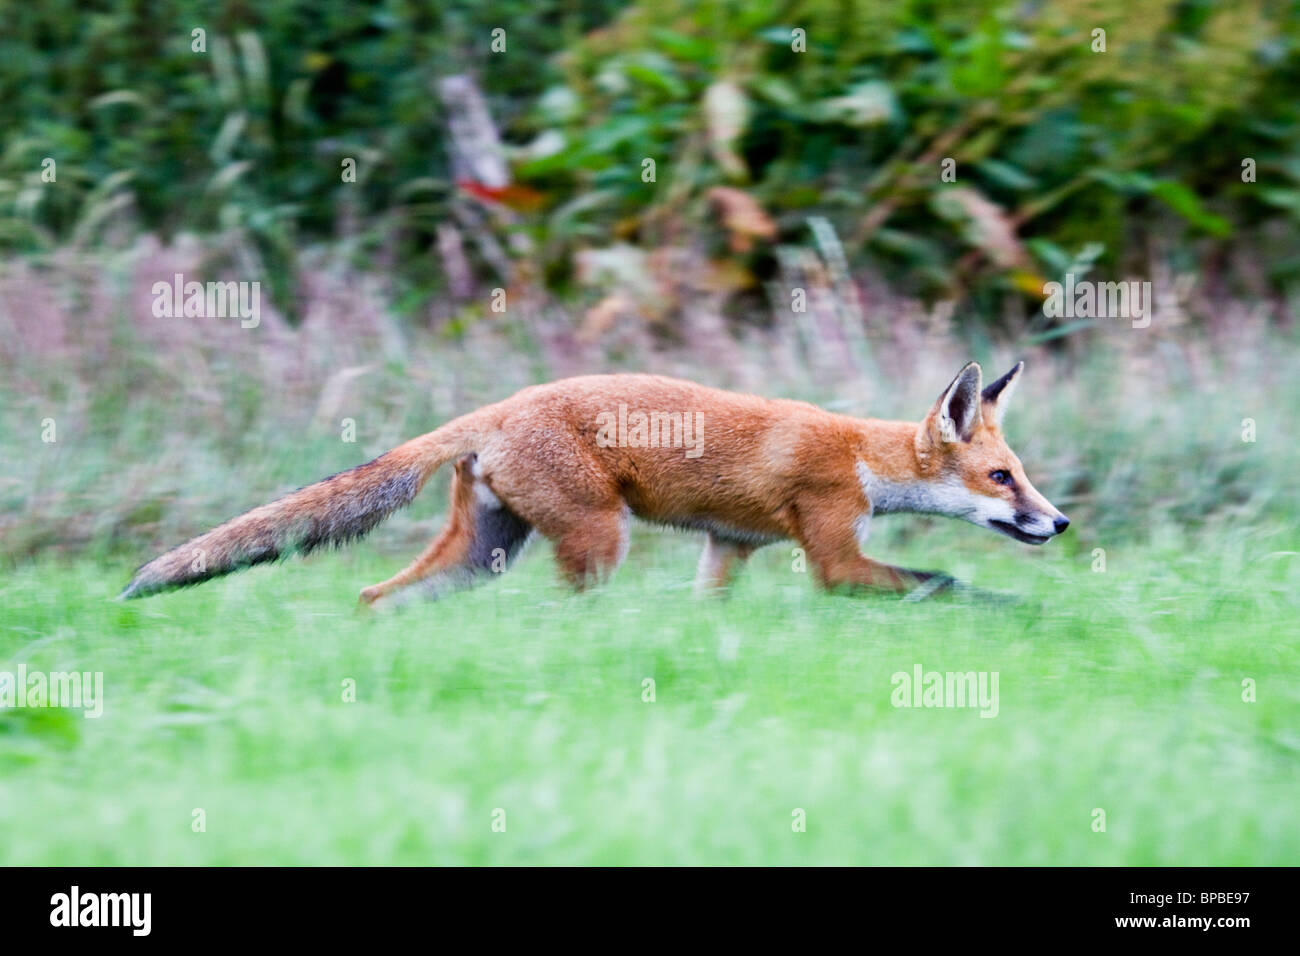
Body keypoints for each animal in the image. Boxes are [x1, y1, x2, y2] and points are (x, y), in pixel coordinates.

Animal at [119, 360, 1069, 603]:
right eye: (1001, 479)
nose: (1058, 525)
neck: (860, 458)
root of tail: (501, 405)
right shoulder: (834, 554)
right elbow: (947, 581)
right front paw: (1021, 612)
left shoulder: (728, 549)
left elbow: (710, 606)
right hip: (597, 538)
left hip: (482, 554)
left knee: (375, 598)